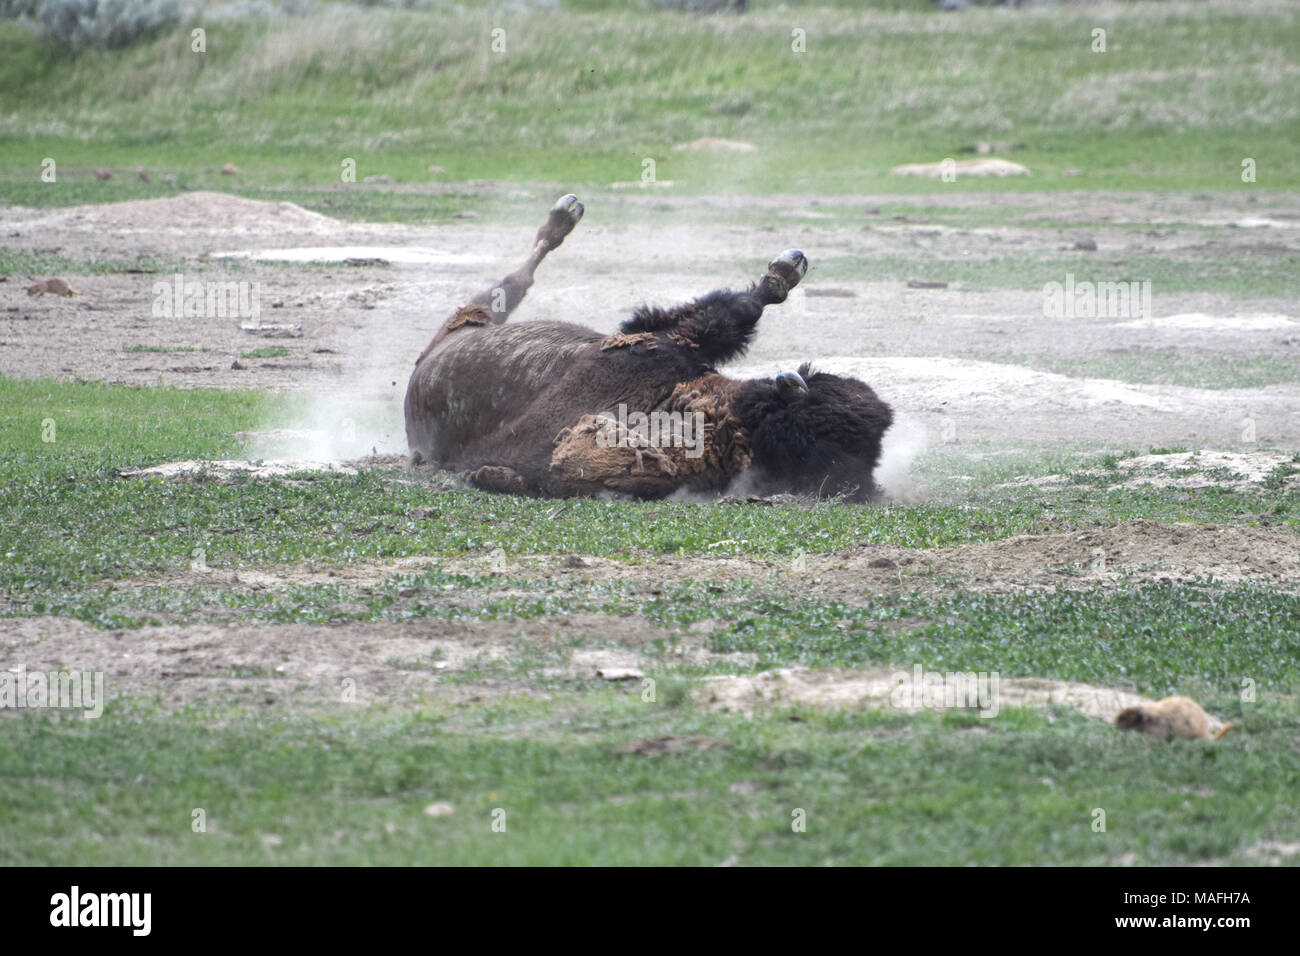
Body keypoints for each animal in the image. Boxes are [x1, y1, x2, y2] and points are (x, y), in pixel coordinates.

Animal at [404, 194, 893, 501]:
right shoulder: (673, 342)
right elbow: (742, 309)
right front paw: (789, 267)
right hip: (476, 318)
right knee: (518, 281)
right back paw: (567, 213)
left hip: (465, 324)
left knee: (517, 280)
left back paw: (563, 217)